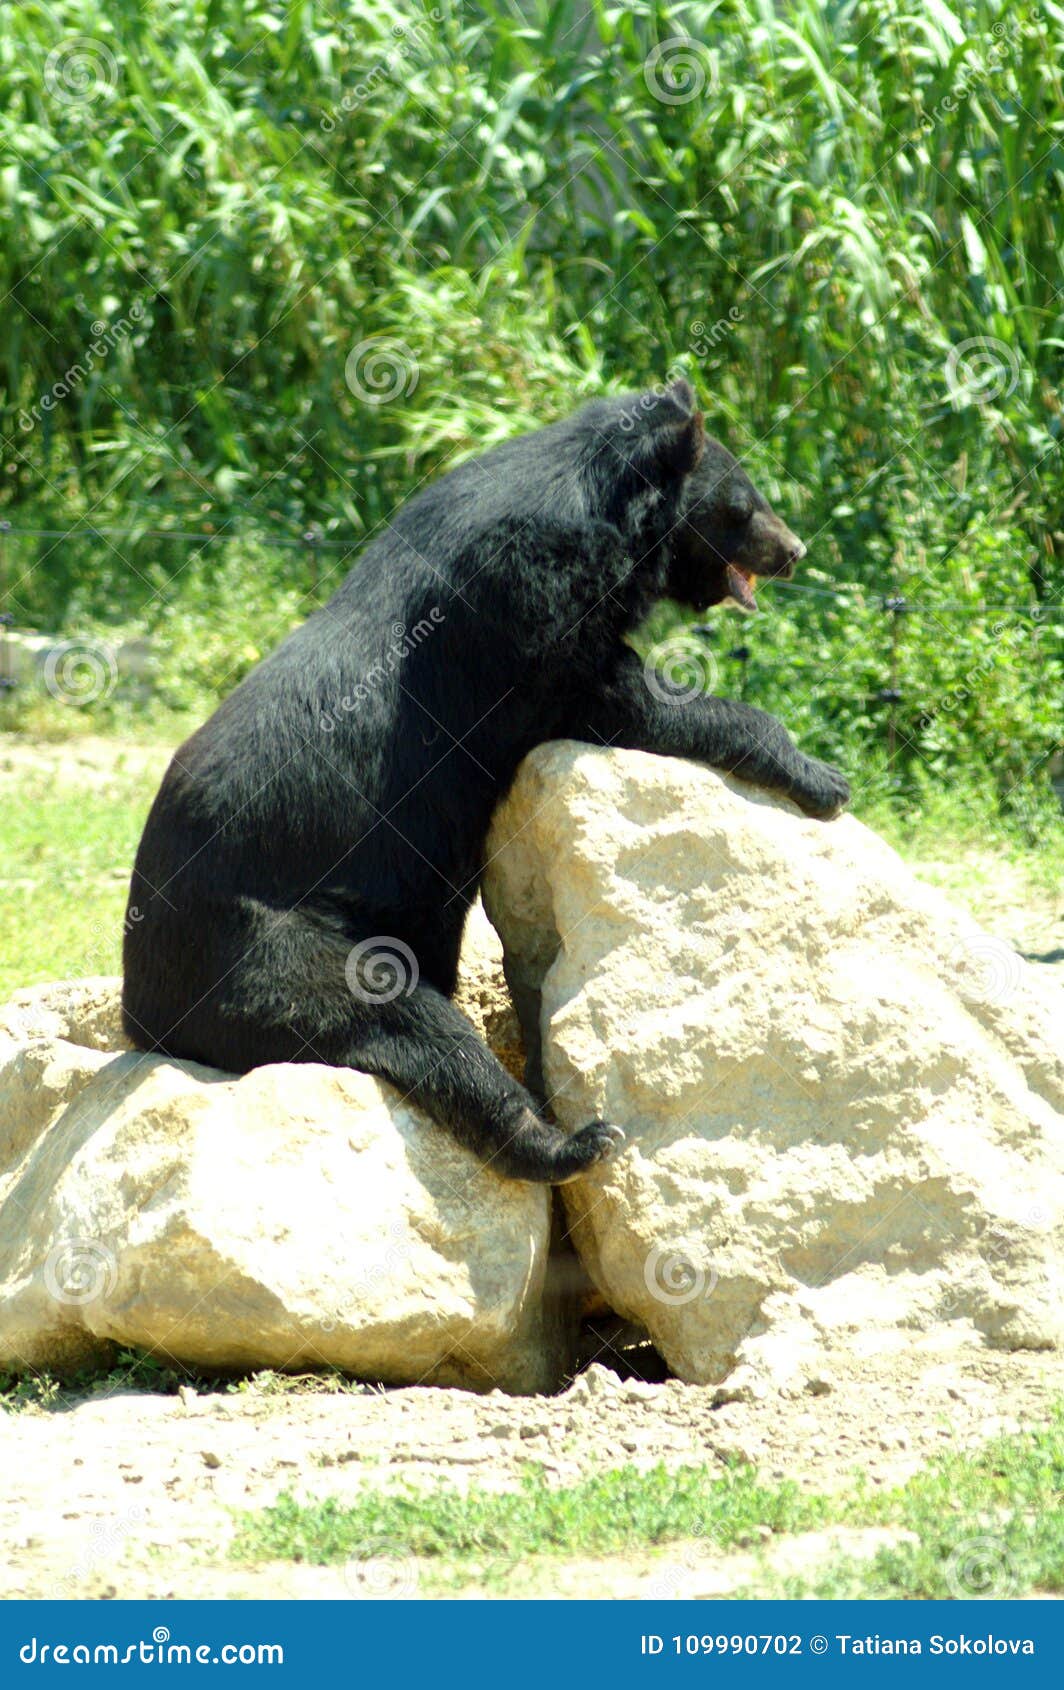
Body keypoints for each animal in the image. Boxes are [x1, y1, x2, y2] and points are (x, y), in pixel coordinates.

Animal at [123, 378, 849, 1183]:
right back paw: (569, 1141)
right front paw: (822, 775)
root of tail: (143, 1013)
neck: (606, 511)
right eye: (744, 504)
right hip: (262, 945)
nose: (794, 551)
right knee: (396, 1020)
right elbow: (617, 697)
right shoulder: (526, 597)